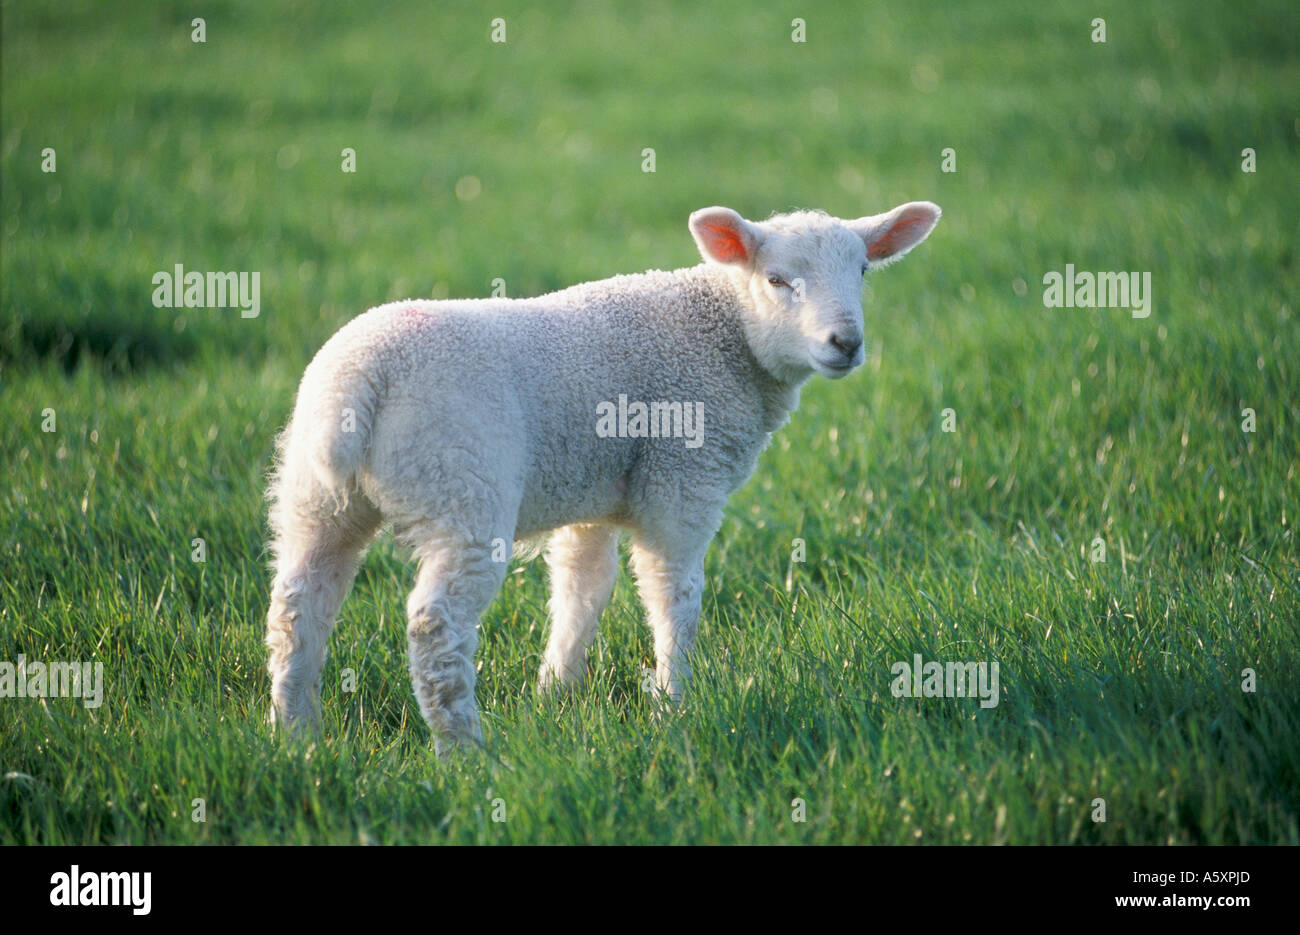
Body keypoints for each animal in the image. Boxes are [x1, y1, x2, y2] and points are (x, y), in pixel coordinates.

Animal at [265, 201, 941, 753]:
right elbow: (675, 597)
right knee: (436, 626)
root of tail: (362, 376)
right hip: (462, 487)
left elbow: (581, 592)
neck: (727, 337)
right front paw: (674, 706)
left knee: (298, 607)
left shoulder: (592, 494)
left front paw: (555, 696)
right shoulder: (682, 479)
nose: (846, 343)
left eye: (863, 272)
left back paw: (298, 740)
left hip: (313, 496)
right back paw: (466, 755)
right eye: (776, 280)